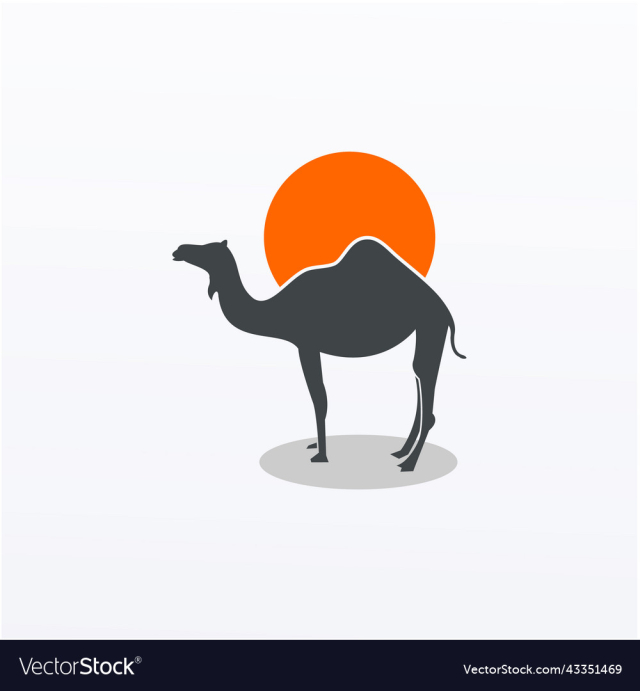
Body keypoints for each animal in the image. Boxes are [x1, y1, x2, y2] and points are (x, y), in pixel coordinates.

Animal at [172, 237, 465, 472]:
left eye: (209, 250)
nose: (179, 249)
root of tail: (446, 311)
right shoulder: (308, 346)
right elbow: (319, 397)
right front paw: (315, 446)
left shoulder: (307, 344)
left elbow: (319, 398)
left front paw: (322, 455)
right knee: (417, 377)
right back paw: (401, 451)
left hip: (430, 325)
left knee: (422, 376)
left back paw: (409, 463)